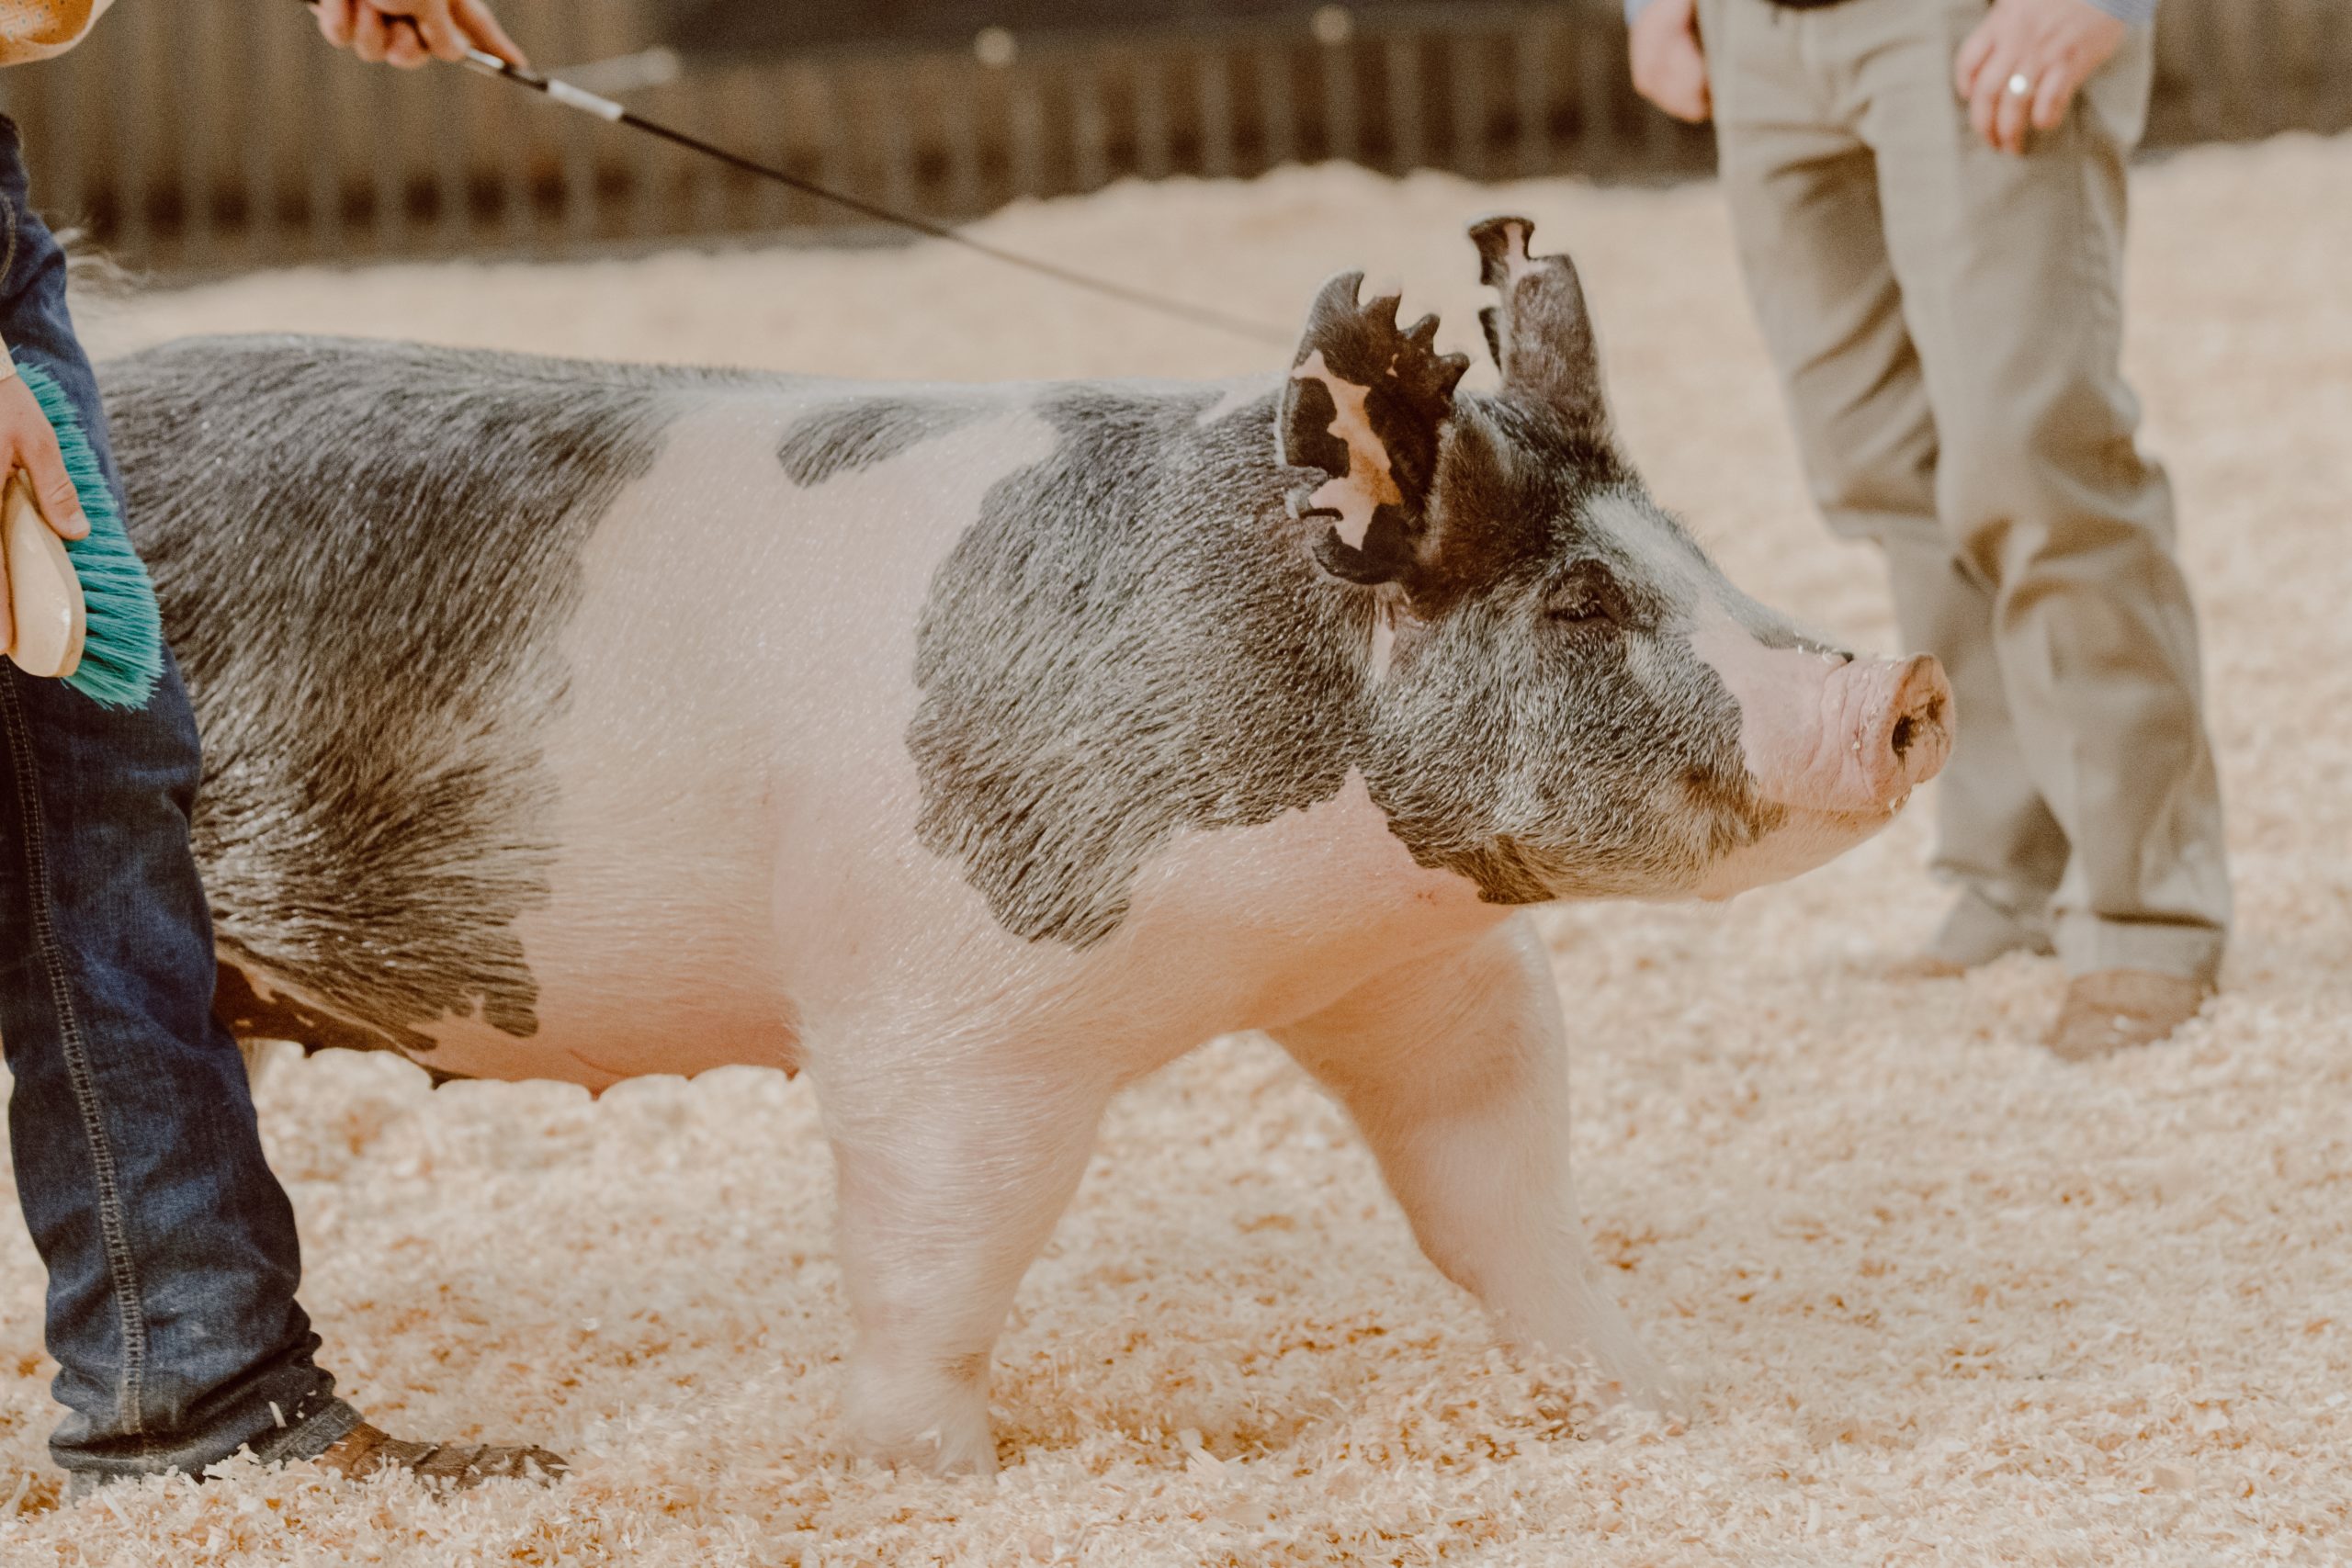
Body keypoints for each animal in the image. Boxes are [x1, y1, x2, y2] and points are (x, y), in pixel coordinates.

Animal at [100, 218, 1950, 1476]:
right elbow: (941, 1248)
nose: (1908, 686)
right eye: (1578, 600)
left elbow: (1499, 1186)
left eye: (1683, 544)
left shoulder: (1422, 966)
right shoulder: (949, 1016)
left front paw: (1650, 1400)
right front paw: (933, 1474)